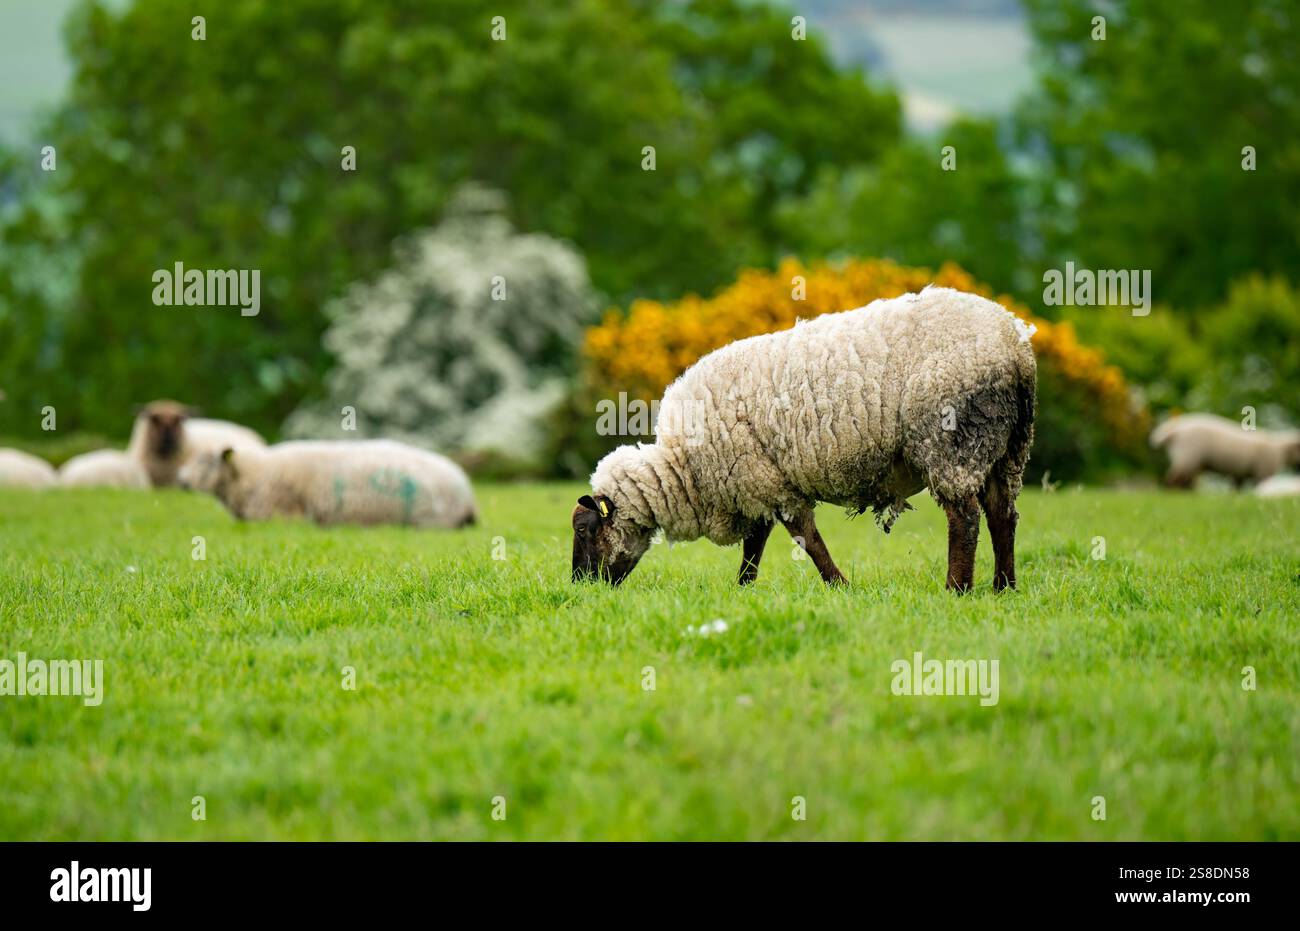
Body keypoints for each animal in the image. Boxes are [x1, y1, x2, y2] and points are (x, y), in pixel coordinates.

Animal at [572, 285, 1037, 592]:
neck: (682, 471)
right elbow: (756, 544)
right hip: (1008, 448)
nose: (580, 586)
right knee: (1003, 515)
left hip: (952, 440)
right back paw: (1003, 586)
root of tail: (1015, 346)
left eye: (582, 529)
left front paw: (839, 585)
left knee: (965, 517)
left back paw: (957, 587)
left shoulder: (768, 482)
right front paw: (744, 588)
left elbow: (806, 541)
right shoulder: (756, 483)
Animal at [1150, 413, 1300, 489]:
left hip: (1192, 461)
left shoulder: (1240, 473)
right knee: (1175, 478)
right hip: (1188, 457)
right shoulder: (1263, 472)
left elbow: (1236, 489)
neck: (1281, 449)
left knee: (1186, 479)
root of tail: (1175, 431)